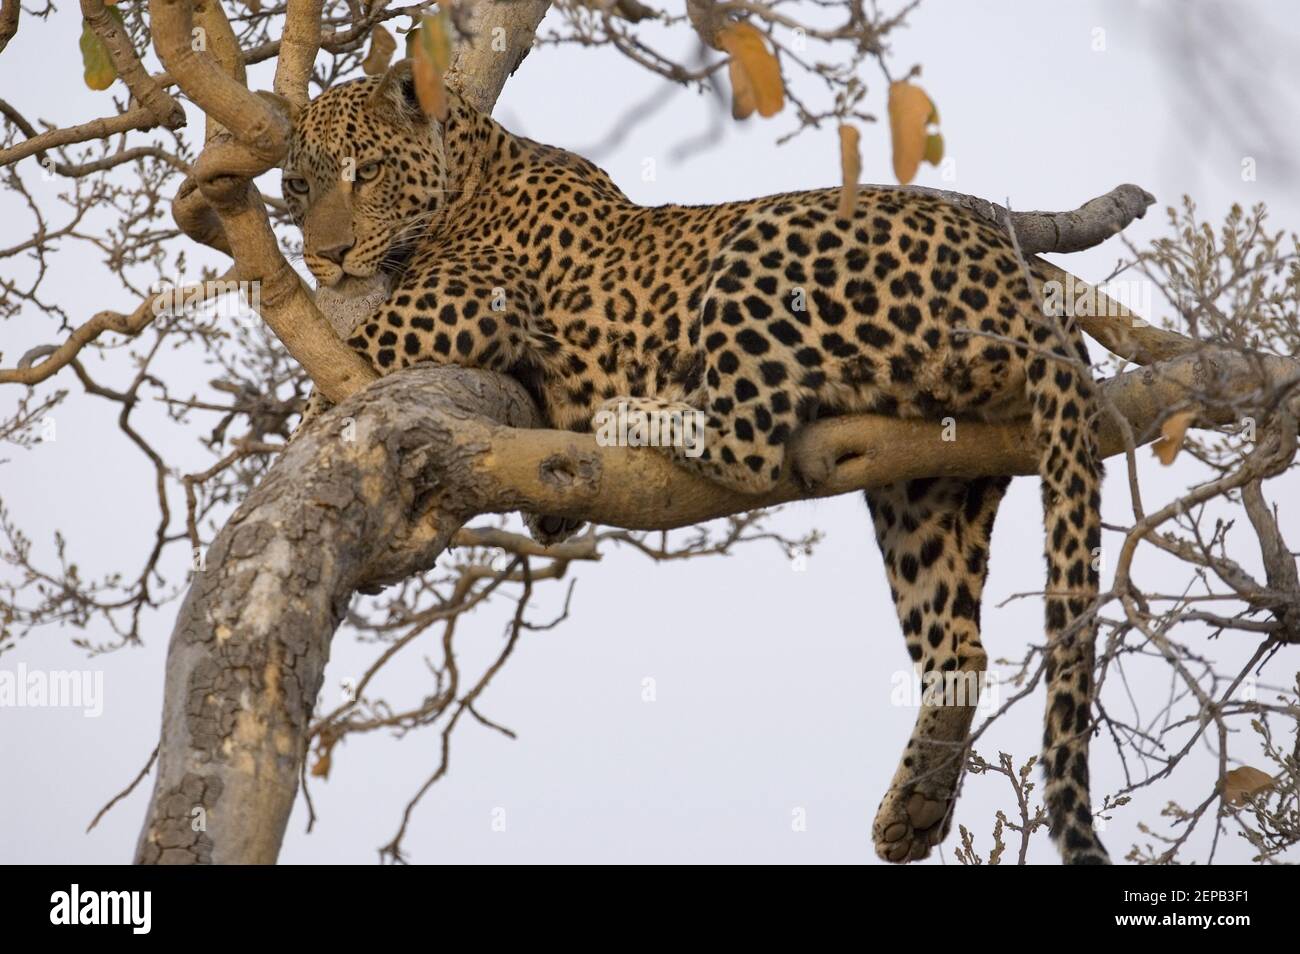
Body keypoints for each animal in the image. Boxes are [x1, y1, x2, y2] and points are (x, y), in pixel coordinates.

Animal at [281, 60, 1110, 865]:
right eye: (296, 186)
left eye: (365, 172)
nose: (325, 258)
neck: (473, 163)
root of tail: (1030, 292)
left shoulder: (450, 311)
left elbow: (342, 365)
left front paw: (309, 422)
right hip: (927, 483)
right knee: (958, 646)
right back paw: (915, 808)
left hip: (766, 243)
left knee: (750, 439)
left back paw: (632, 413)